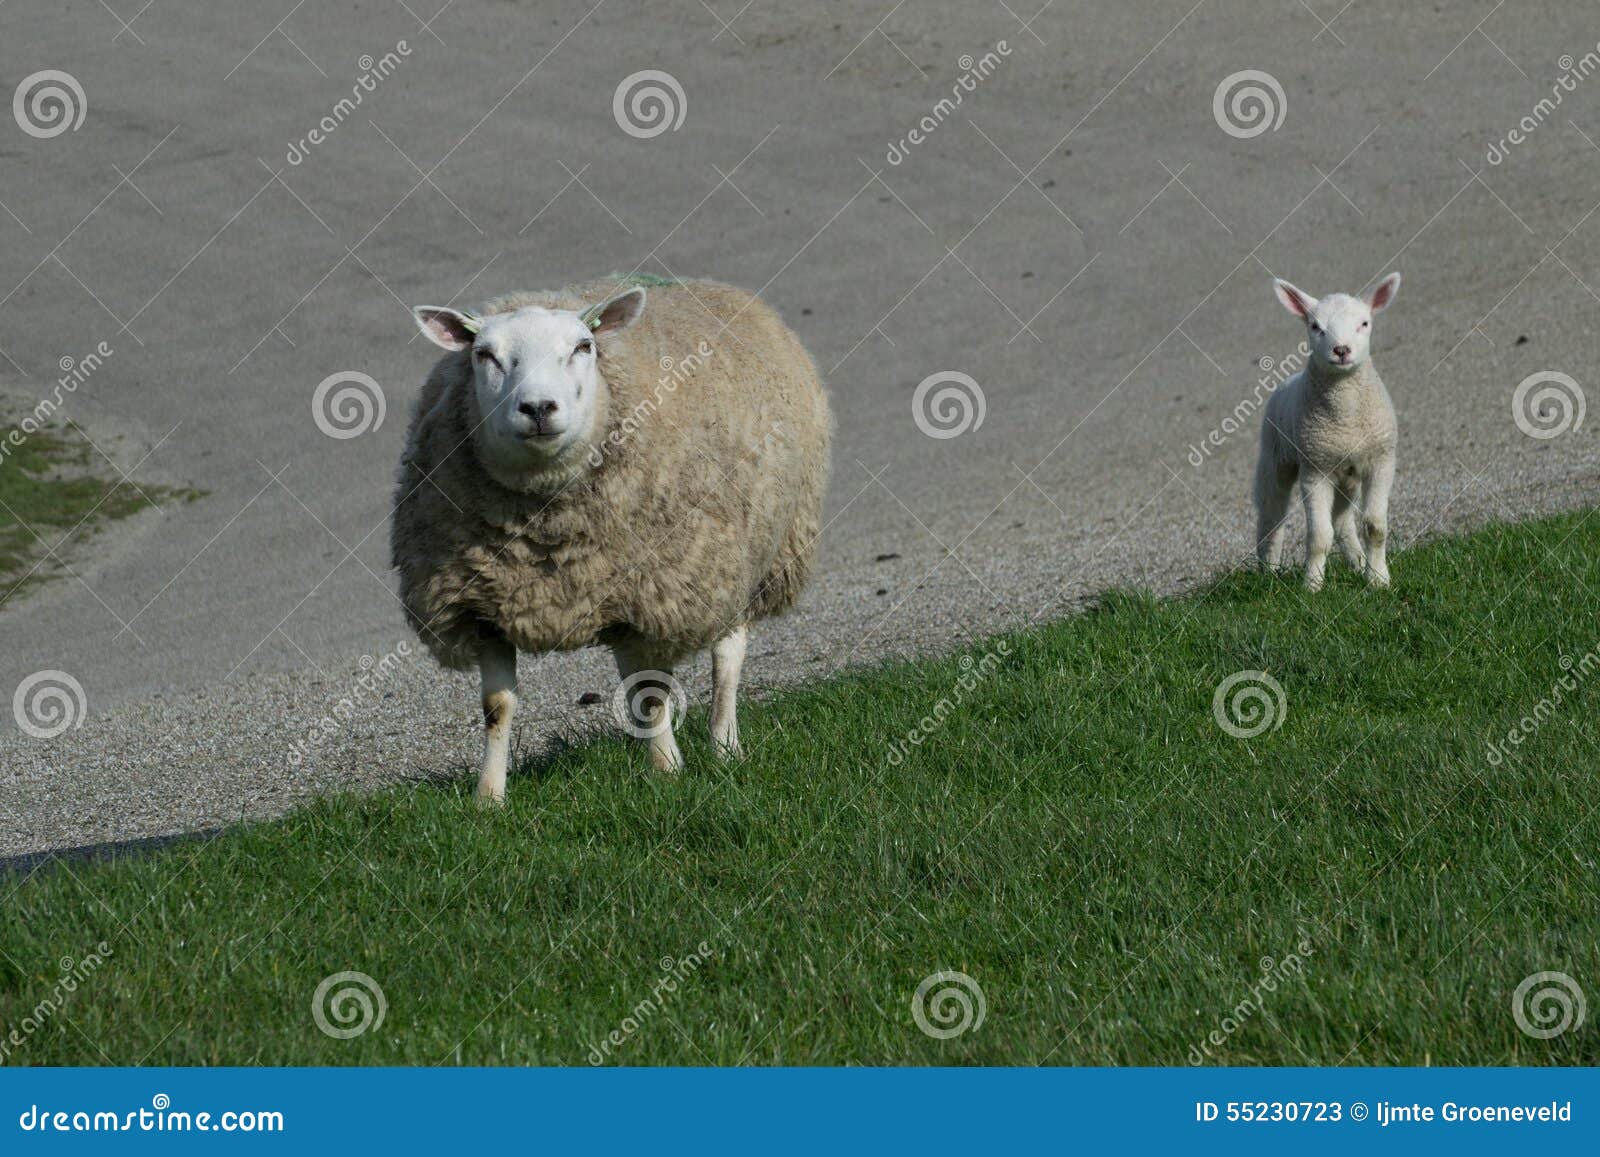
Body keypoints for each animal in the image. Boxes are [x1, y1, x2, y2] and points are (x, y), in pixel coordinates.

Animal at [391, 277, 832, 802]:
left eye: (584, 346)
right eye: (484, 354)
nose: (538, 408)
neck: (546, 536)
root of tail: (711, 286)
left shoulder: (644, 596)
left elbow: (649, 696)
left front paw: (667, 773)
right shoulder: (484, 607)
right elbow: (497, 707)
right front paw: (488, 798)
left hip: (728, 561)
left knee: (728, 655)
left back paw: (724, 746)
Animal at [1254, 272, 1401, 591]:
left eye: (1364, 323)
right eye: (1315, 327)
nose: (1341, 350)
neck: (1345, 418)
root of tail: (1288, 380)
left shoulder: (1381, 460)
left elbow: (1375, 526)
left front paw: (1378, 579)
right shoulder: (1315, 470)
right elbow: (1319, 536)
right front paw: (1312, 585)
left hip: (1345, 474)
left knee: (1342, 521)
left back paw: (1358, 562)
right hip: (1275, 456)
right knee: (1272, 514)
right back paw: (1268, 570)